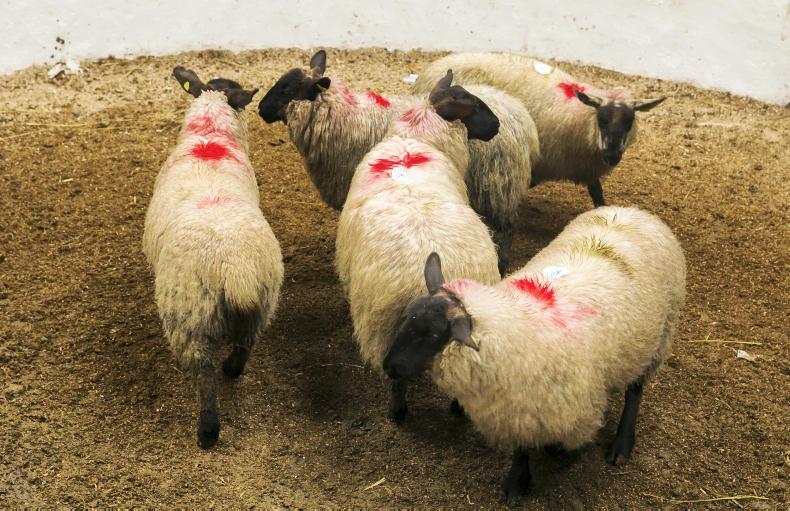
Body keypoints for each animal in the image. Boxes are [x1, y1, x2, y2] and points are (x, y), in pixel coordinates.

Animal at [143, 67, 284, 448]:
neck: (209, 139)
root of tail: (233, 268)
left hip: (190, 318)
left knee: (204, 375)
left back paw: (207, 430)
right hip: (261, 305)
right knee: (242, 350)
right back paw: (231, 371)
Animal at [259, 50, 539, 275]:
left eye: (287, 90)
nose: (261, 108)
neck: (345, 115)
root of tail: (519, 113)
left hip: (499, 187)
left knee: (506, 230)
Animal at [383, 206, 686, 504]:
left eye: (433, 335)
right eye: (407, 317)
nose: (388, 366)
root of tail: (633, 211)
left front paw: (559, 455)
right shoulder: (522, 407)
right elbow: (522, 448)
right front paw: (518, 481)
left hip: (656, 338)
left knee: (635, 391)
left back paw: (621, 445)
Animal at [412, 52, 666, 208]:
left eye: (629, 121)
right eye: (602, 120)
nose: (612, 155)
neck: (582, 118)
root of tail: (435, 65)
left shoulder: (586, 168)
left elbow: (597, 194)